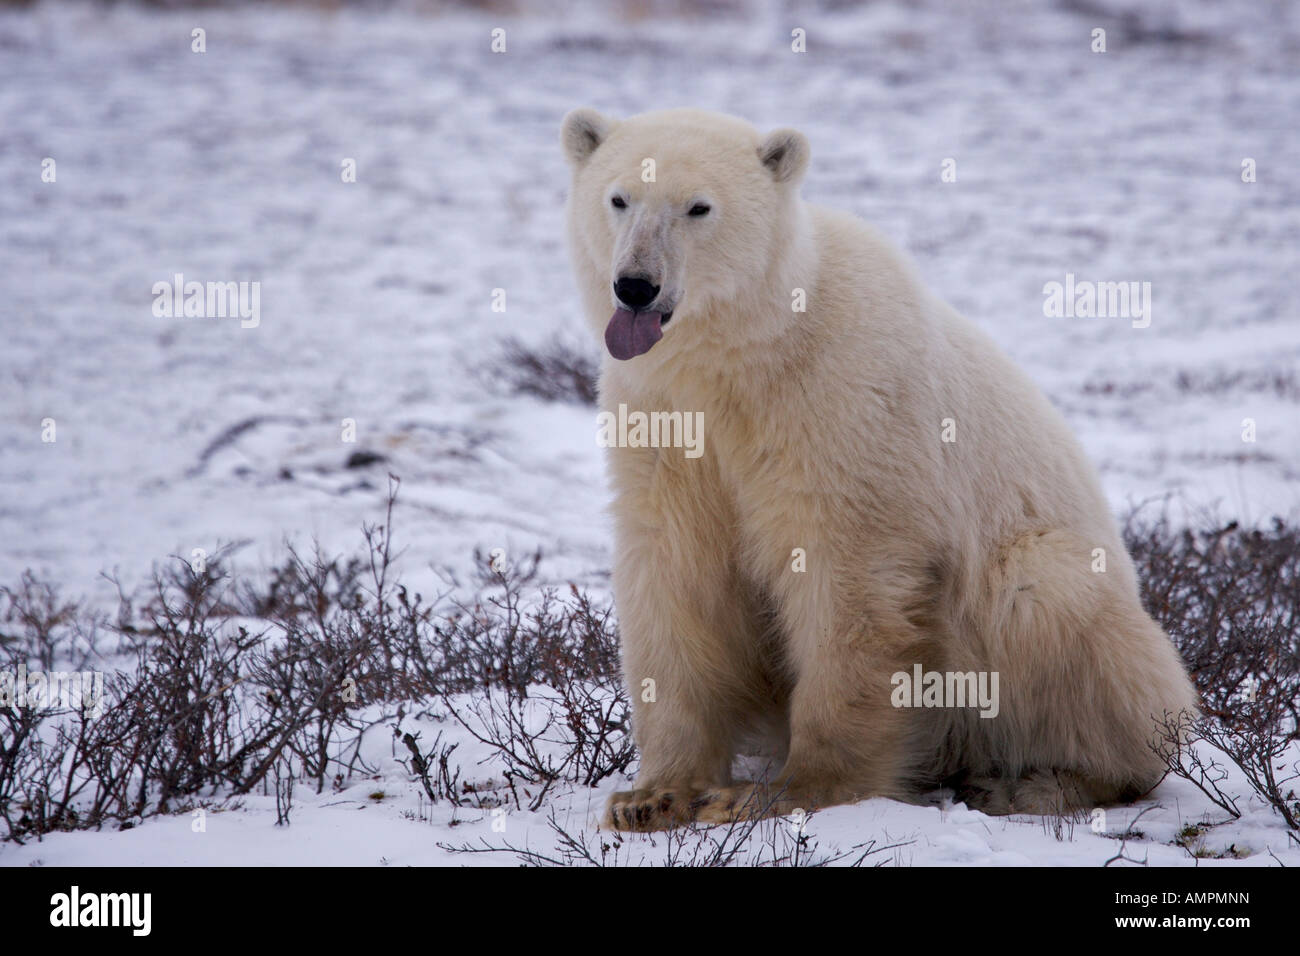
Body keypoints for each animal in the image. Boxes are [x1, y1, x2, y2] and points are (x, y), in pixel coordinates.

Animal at [560, 107, 1198, 830]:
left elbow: (845, 580)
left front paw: (781, 792)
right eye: (618, 198)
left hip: (1060, 603)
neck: (750, 352)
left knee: (1049, 610)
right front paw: (652, 796)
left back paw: (1033, 784)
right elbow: (675, 573)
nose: (636, 286)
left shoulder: (844, 406)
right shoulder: (663, 418)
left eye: (699, 207)